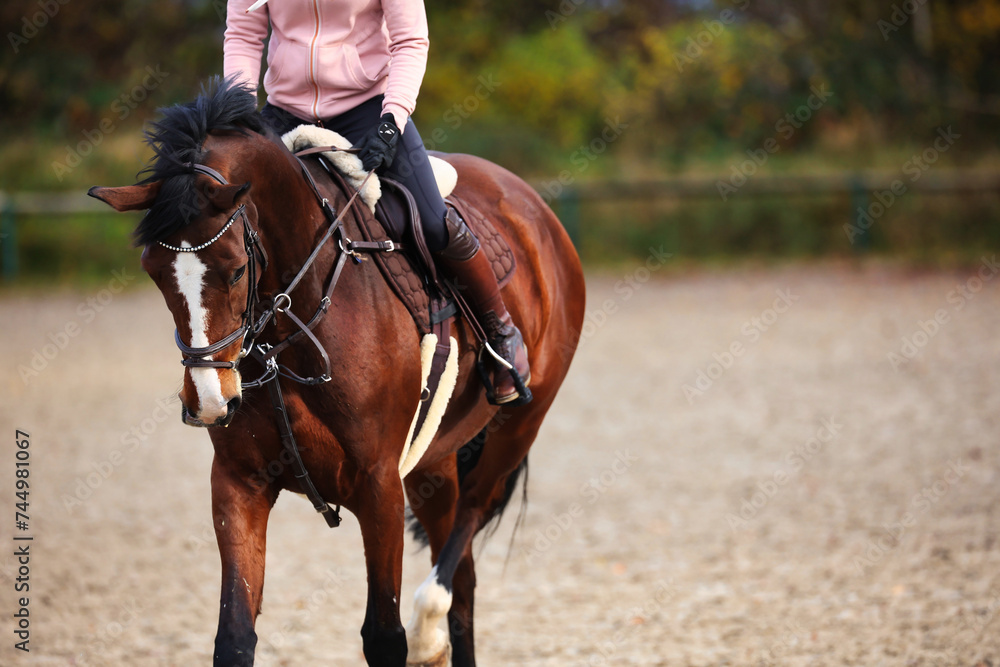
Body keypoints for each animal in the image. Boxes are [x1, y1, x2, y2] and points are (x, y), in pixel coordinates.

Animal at [89, 79, 585, 667]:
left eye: (235, 269)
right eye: (154, 273)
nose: (210, 400)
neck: (295, 323)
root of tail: (535, 208)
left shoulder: (379, 485)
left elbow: (384, 636)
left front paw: (414, 635)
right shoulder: (238, 483)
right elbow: (234, 636)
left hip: (516, 428)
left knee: (465, 532)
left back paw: (430, 626)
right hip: (434, 464)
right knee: (462, 576)